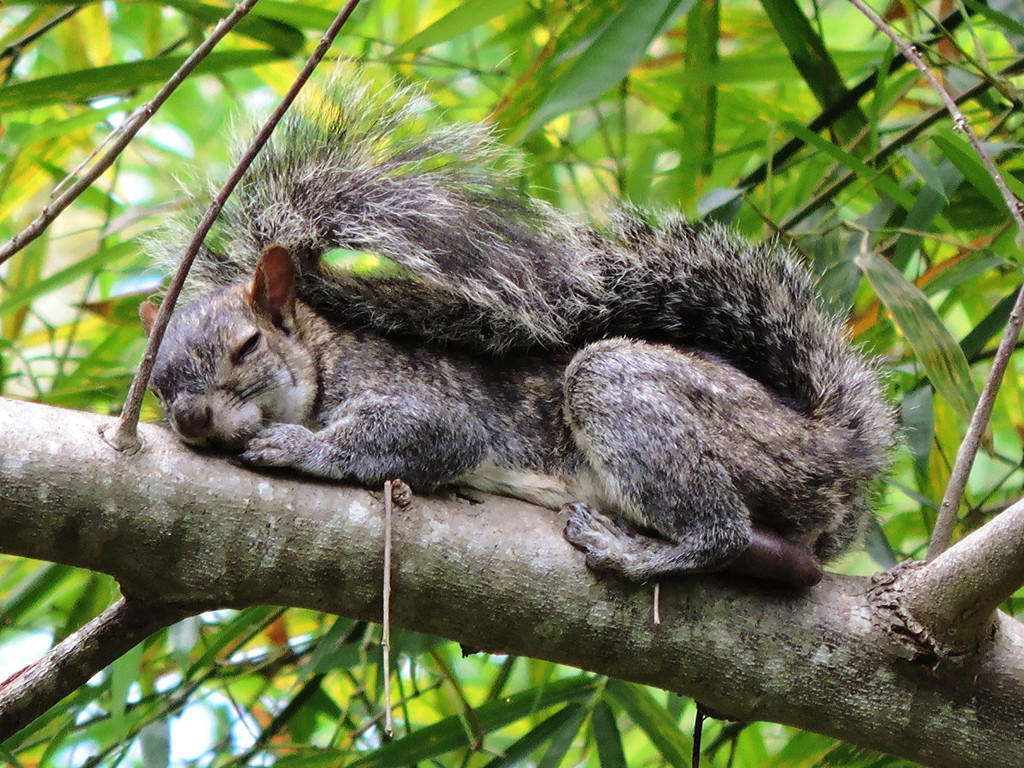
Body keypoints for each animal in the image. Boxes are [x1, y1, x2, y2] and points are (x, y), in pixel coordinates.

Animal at [140, 80, 895, 588]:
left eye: (248, 347)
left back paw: (634, 552)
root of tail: (836, 449)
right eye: (156, 385)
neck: (326, 356)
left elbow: (426, 435)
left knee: (721, 530)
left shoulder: (429, 404)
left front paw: (298, 444)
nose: (192, 418)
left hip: (630, 390)